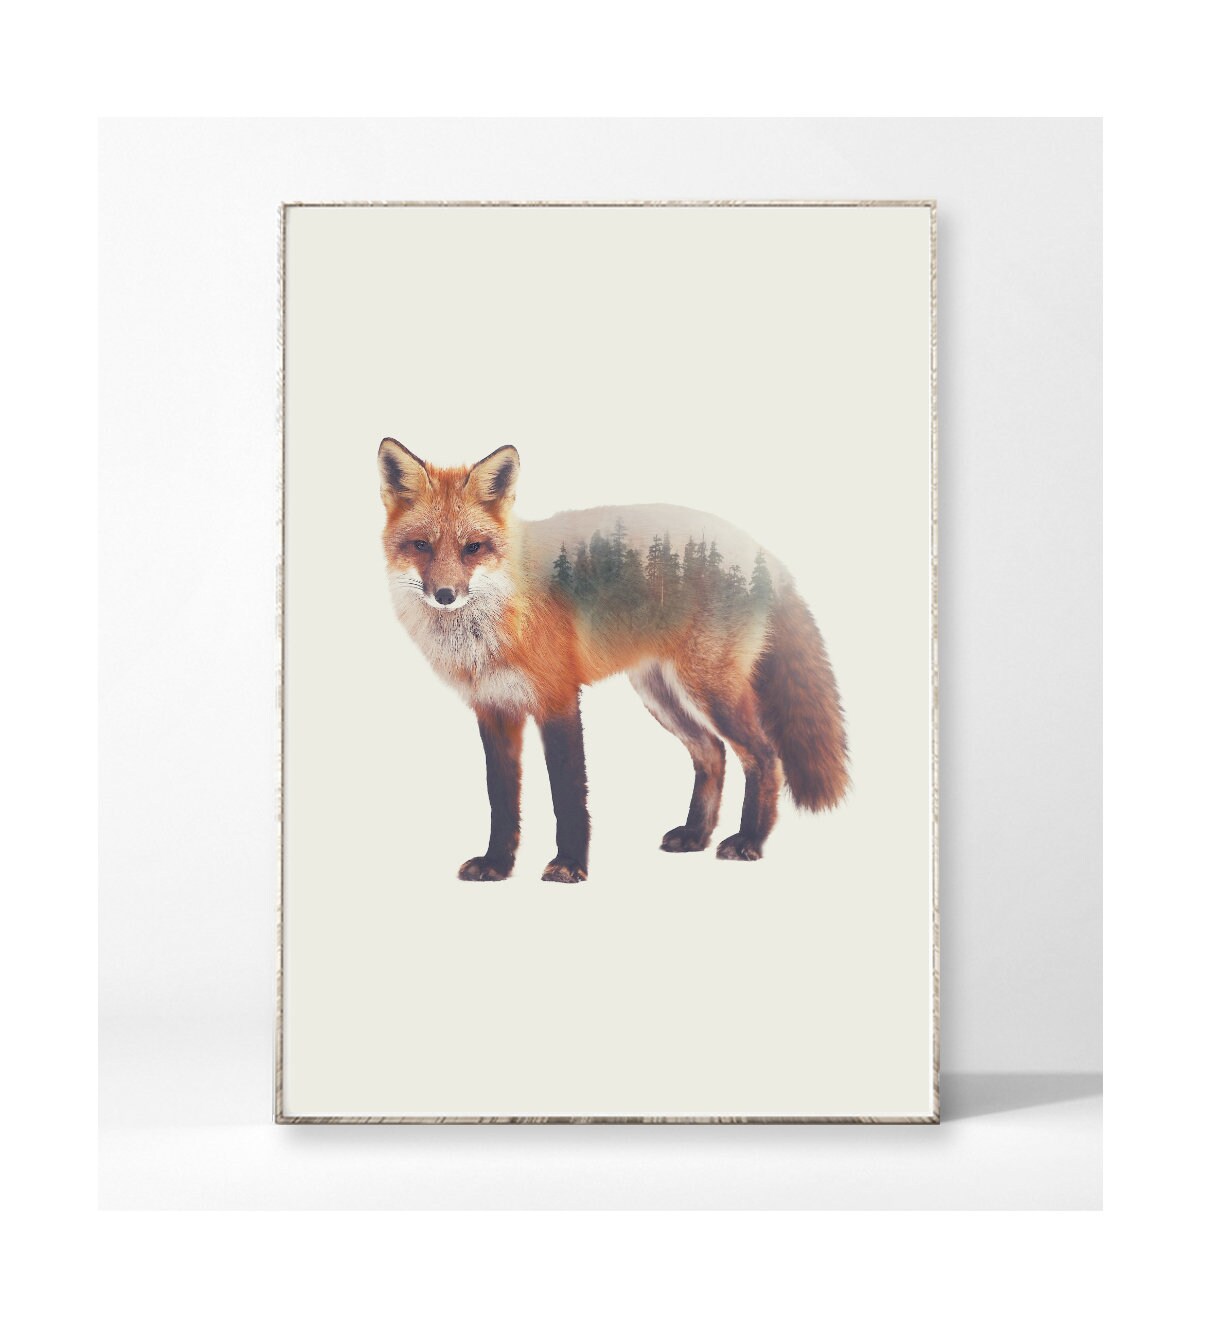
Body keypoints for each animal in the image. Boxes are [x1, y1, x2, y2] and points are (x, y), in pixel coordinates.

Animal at [378, 438, 849, 883]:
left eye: (472, 548)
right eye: (421, 546)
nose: (445, 595)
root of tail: (760, 551)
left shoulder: (558, 699)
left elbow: (568, 794)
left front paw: (569, 865)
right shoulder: (494, 709)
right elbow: (502, 800)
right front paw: (497, 864)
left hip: (710, 689)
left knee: (765, 757)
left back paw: (749, 840)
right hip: (662, 694)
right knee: (712, 753)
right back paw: (696, 835)